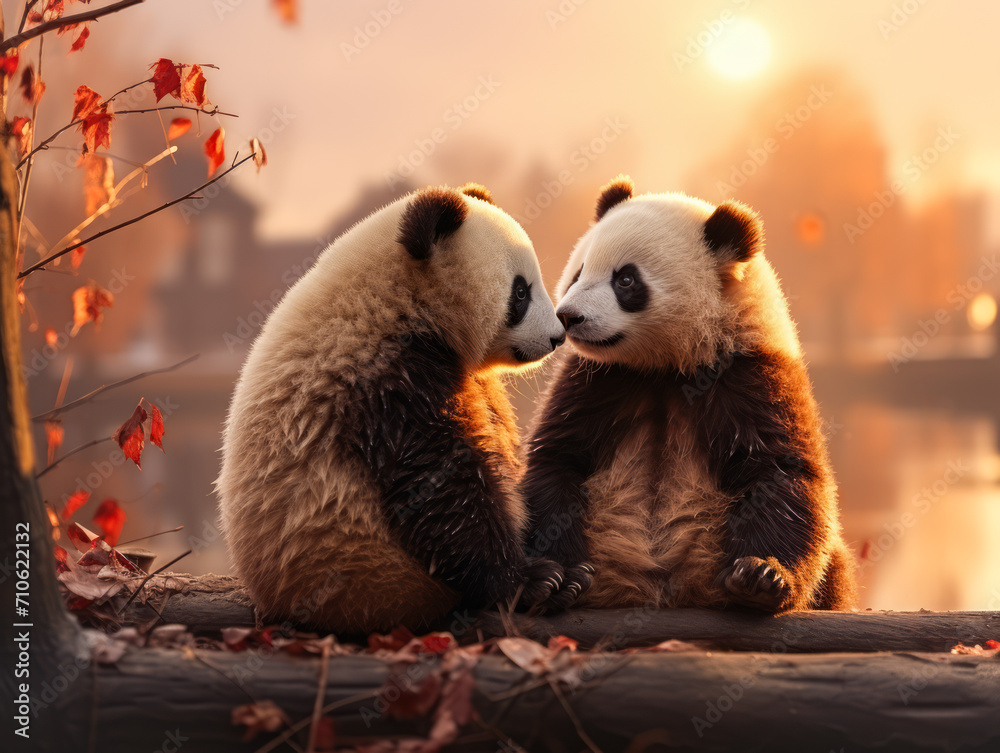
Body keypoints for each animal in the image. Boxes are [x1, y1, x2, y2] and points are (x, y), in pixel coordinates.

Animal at [217, 184, 569, 634]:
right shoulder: (380, 377)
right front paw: (532, 580)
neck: (400, 295)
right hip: (370, 577)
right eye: (520, 292)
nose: (557, 337)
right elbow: (435, 484)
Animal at [522, 176, 856, 613]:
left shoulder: (750, 375)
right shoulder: (600, 379)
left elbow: (780, 471)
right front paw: (558, 576)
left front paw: (760, 576)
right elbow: (557, 459)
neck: (667, 365)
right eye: (579, 271)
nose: (568, 316)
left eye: (625, 280)